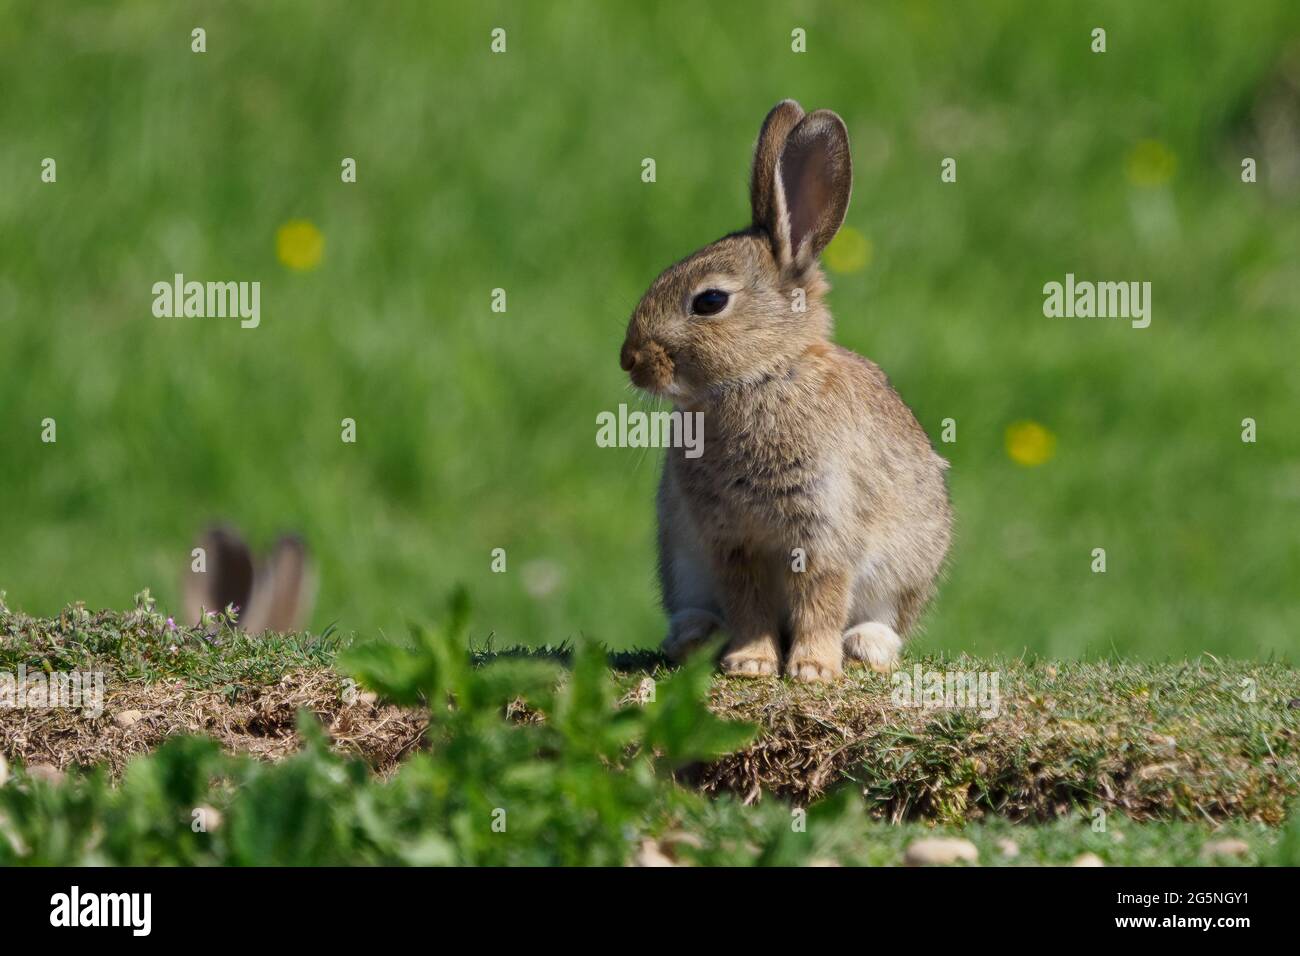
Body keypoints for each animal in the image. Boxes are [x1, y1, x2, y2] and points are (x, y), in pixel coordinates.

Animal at [619, 100, 952, 682]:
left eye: (709, 301)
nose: (629, 360)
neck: (764, 376)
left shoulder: (824, 527)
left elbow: (821, 595)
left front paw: (813, 669)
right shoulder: (730, 541)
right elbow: (747, 601)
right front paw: (751, 663)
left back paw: (866, 646)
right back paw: (696, 635)